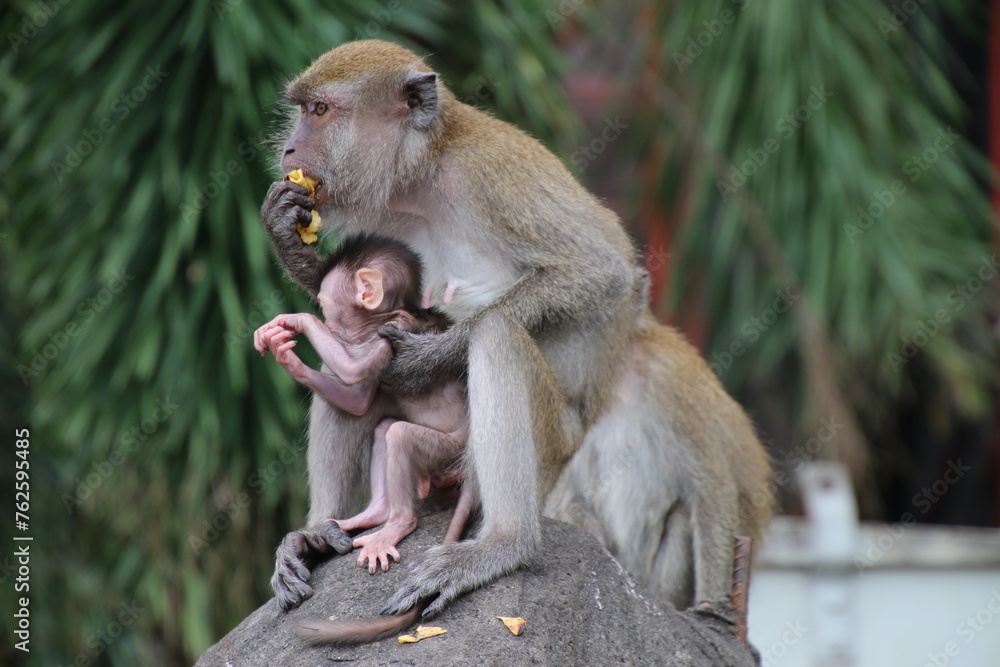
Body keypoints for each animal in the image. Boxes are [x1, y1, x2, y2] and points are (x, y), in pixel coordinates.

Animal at [254, 234, 475, 580]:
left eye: (325, 307)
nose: (327, 322)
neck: (383, 318)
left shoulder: (393, 330)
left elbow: (354, 370)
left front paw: (299, 322)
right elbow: (357, 400)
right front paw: (286, 356)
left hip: (451, 453)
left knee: (400, 437)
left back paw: (396, 524)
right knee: (384, 430)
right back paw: (363, 518)